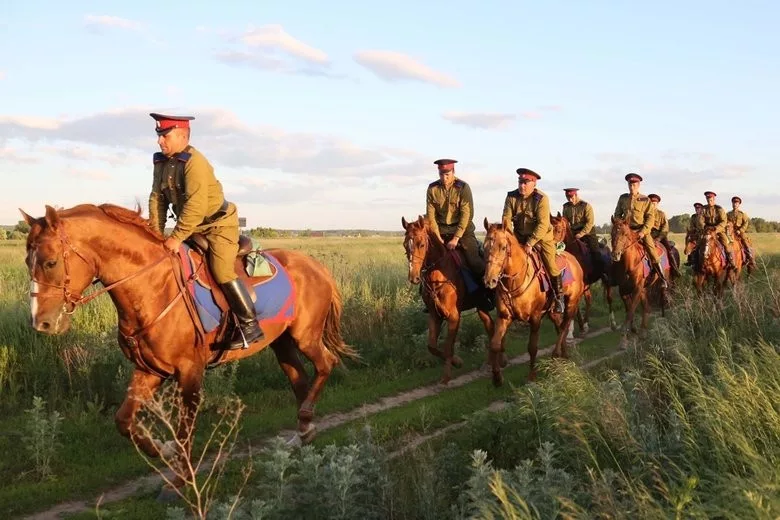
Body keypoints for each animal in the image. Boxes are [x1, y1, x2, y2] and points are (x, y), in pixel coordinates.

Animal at [19, 203, 358, 496]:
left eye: (51, 262)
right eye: (27, 262)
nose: (42, 323)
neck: (152, 288)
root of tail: (315, 265)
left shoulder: (190, 371)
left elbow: (184, 431)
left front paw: (180, 481)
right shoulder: (149, 370)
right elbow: (124, 420)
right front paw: (164, 450)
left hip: (305, 336)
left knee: (326, 363)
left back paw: (306, 417)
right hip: (282, 343)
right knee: (299, 377)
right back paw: (305, 429)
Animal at [402, 215, 494, 386]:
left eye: (421, 244)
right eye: (405, 244)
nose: (414, 277)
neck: (439, 274)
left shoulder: (453, 316)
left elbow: (447, 347)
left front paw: (447, 375)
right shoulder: (434, 315)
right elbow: (432, 346)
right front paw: (457, 362)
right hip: (481, 307)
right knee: (491, 327)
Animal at [482, 216, 584, 386]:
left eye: (503, 247)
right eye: (484, 247)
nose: (490, 280)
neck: (515, 280)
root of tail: (574, 260)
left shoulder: (535, 318)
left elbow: (532, 347)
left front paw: (532, 376)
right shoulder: (504, 317)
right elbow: (495, 344)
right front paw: (497, 378)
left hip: (571, 302)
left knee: (565, 325)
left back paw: (556, 353)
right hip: (553, 311)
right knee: (559, 325)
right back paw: (563, 354)